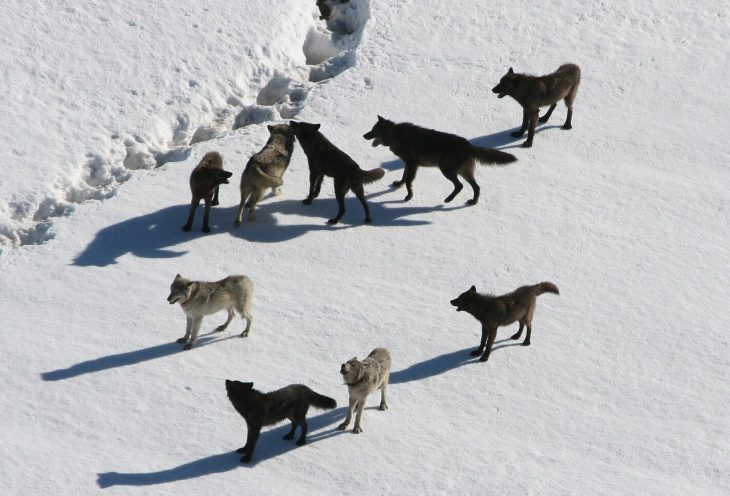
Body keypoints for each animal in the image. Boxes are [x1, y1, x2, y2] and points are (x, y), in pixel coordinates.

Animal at [363, 116, 516, 204]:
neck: (395, 134)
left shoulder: (412, 164)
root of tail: (468, 145)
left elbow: (408, 182)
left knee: (460, 186)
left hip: (446, 170)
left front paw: (408, 197)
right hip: (464, 172)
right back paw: (472, 202)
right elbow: (404, 177)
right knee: (476, 187)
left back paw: (448, 199)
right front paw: (398, 184)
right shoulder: (408, 164)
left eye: (373, 130)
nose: (364, 135)